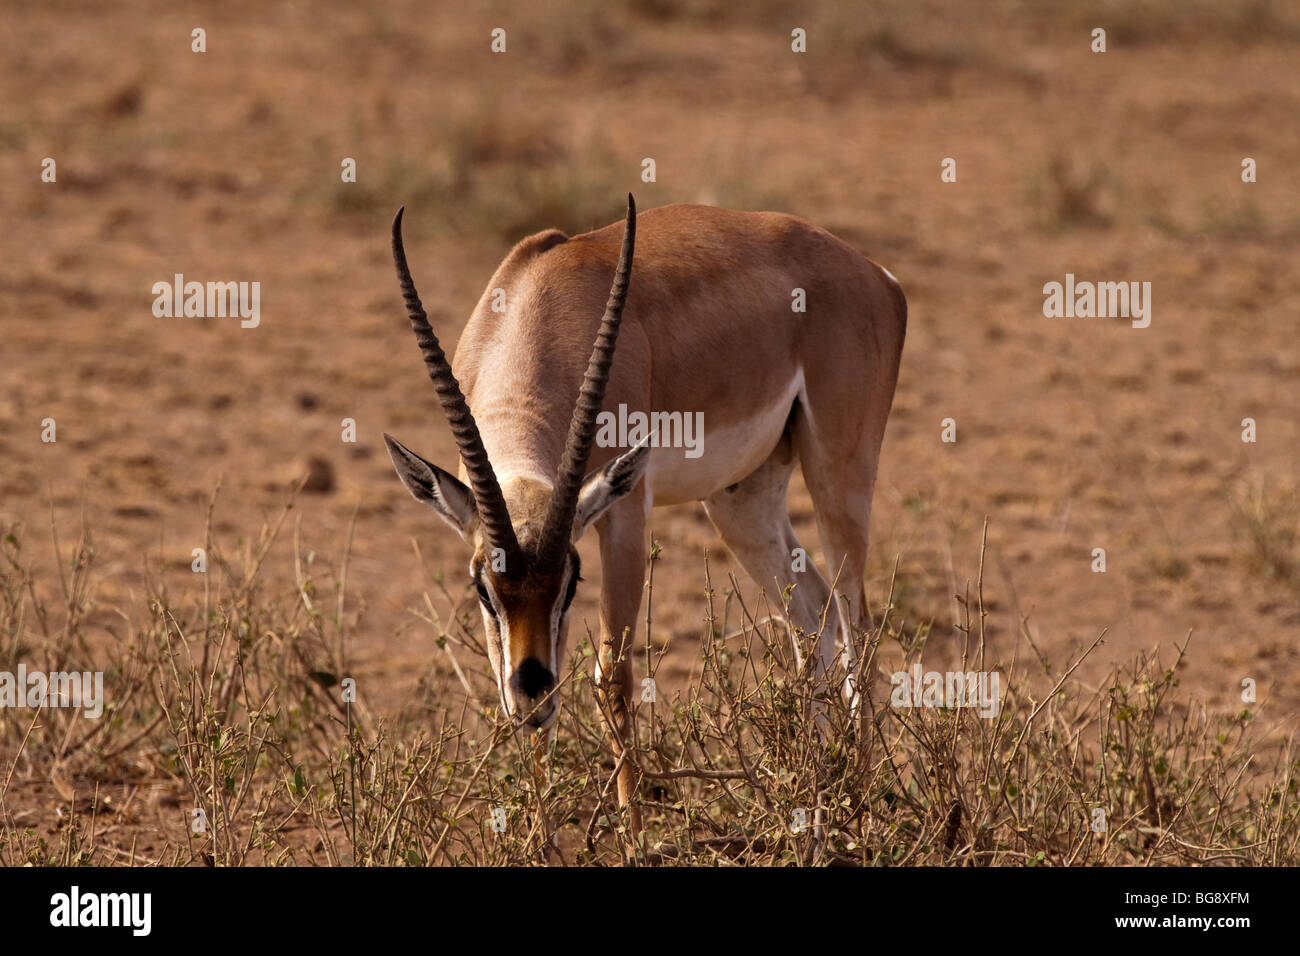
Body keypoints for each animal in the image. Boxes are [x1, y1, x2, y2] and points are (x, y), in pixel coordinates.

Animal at [384, 195, 906, 830]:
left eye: (571, 583)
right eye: (483, 588)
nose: (534, 695)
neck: (539, 302)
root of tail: (877, 276)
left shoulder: (623, 512)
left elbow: (613, 675)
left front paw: (635, 837)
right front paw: (539, 837)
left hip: (838, 473)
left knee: (859, 628)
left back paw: (859, 808)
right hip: (740, 501)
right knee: (814, 619)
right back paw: (815, 795)